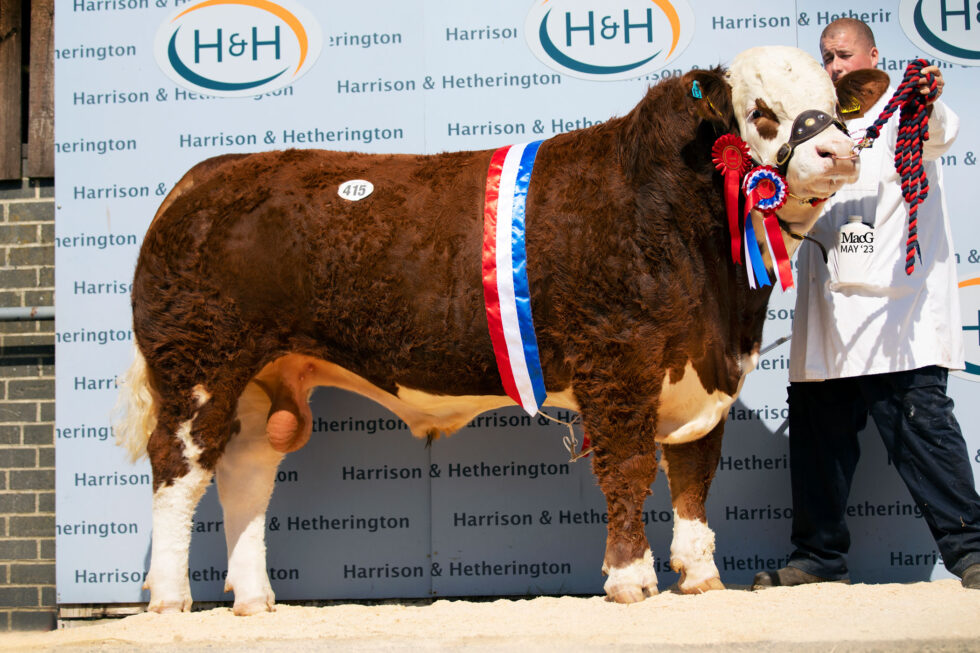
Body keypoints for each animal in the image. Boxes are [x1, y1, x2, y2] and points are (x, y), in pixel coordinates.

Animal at [114, 46, 865, 615]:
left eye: (834, 100)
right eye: (760, 112)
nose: (839, 152)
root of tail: (203, 177)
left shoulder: (704, 372)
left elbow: (692, 474)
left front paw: (701, 576)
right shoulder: (617, 358)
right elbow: (626, 465)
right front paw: (630, 579)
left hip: (258, 377)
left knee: (243, 474)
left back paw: (254, 599)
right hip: (197, 364)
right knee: (179, 468)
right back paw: (171, 599)